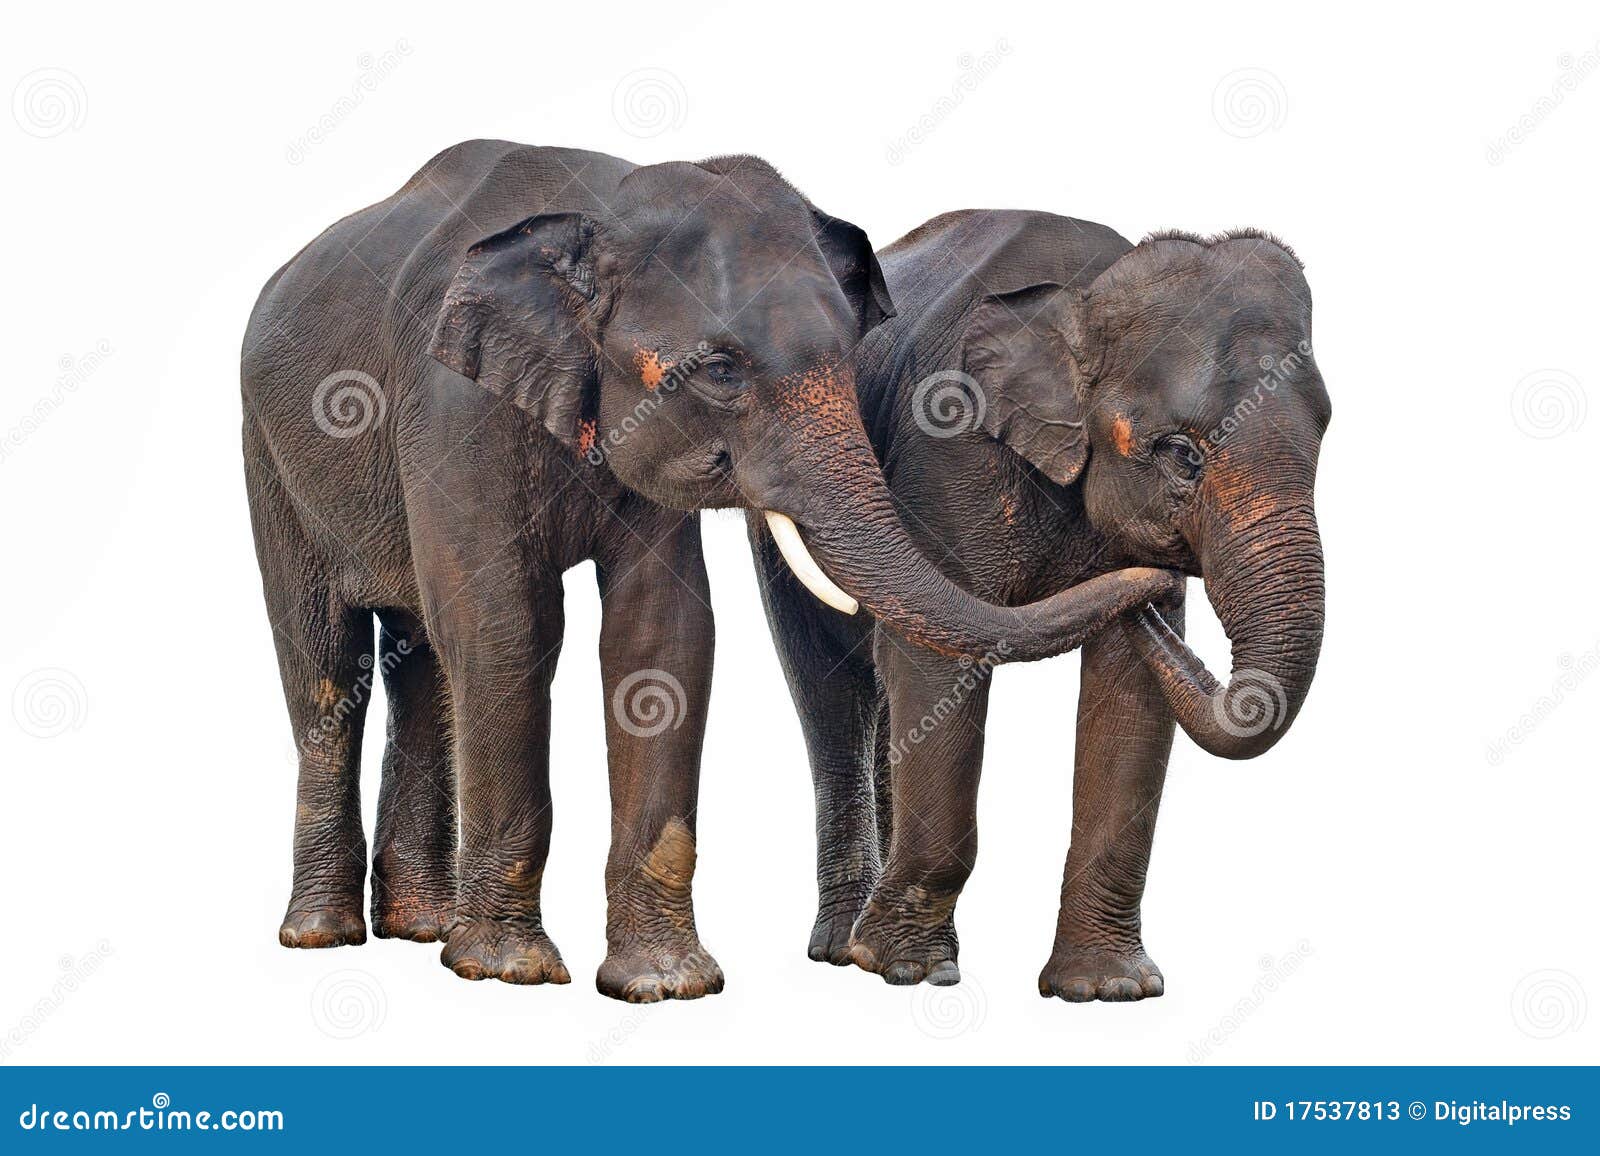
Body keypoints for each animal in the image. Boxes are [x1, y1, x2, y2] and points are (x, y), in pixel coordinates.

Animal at [241, 143, 1181, 1000]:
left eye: (854, 355)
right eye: (722, 371)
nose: (1158, 572)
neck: (604, 202)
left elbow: (663, 632)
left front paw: (664, 984)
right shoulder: (451, 404)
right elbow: (503, 622)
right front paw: (511, 973)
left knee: (423, 658)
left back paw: (419, 929)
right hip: (267, 451)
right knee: (327, 661)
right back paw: (324, 936)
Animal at [749, 208, 1329, 1000]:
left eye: (1326, 433)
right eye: (1181, 453)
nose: (1158, 588)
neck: (1084, 296)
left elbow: (1130, 690)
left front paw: (1105, 989)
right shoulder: (947, 452)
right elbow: (937, 664)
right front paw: (909, 971)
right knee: (830, 682)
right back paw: (846, 951)